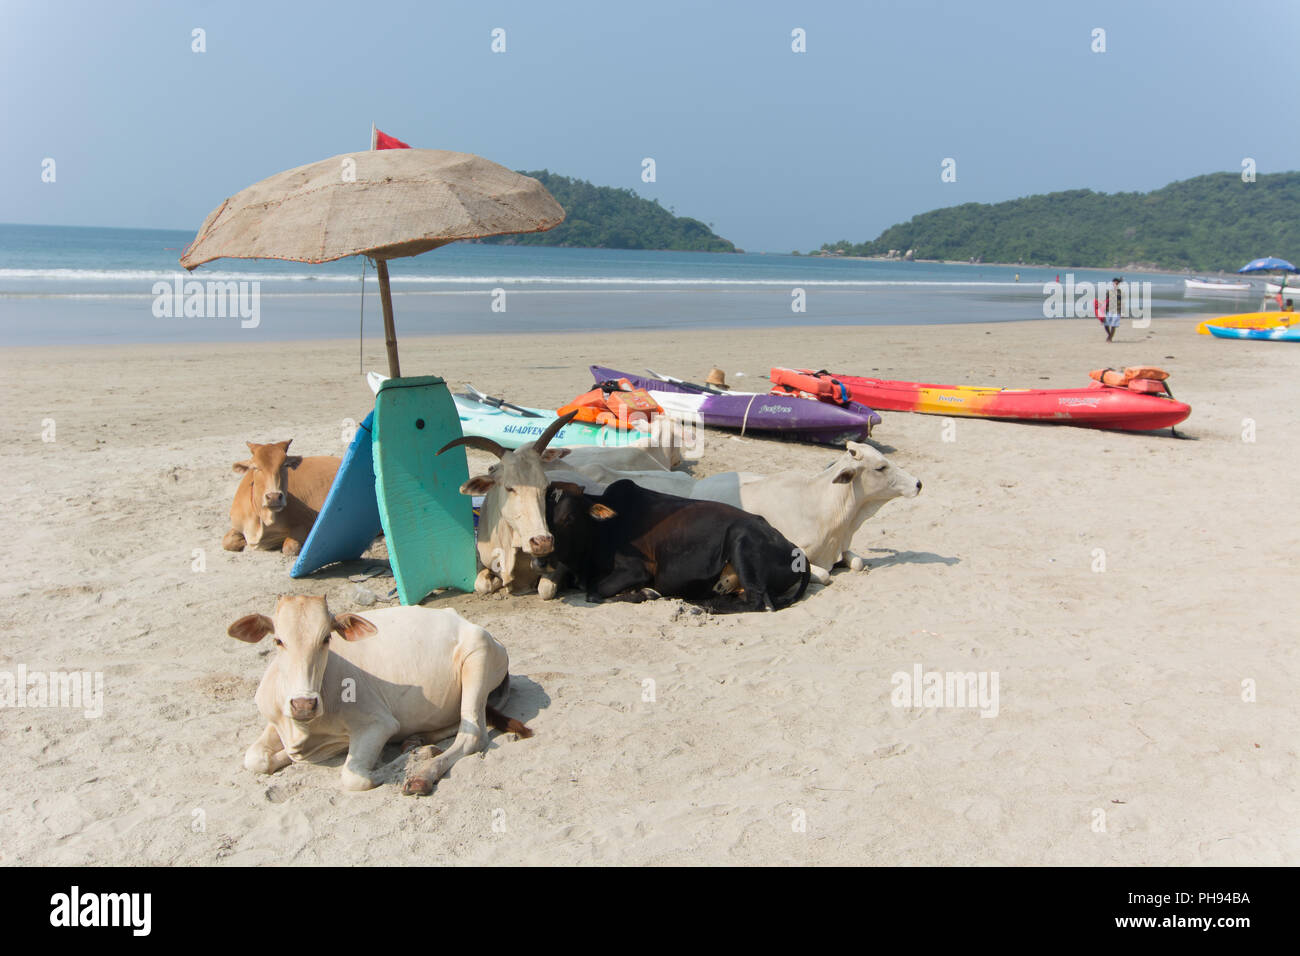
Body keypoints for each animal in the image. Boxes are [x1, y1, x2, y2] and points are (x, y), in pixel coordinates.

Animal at [228, 595, 532, 796]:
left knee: (472, 735)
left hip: (477, 658)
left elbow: (355, 777)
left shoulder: (378, 724)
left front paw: (415, 758)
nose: (304, 704)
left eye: (326, 638)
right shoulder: (277, 722)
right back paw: (416, 740)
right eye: (278, 640)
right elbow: (255, 758)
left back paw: (423, 772)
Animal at [543, 479, 811, 612]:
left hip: (741, 542)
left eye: (569, 517)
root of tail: (794, 548)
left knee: (758, 602)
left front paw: (645, 593)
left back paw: (699, 605)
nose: (541, 557)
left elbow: (594, 593)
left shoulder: (635, 569)